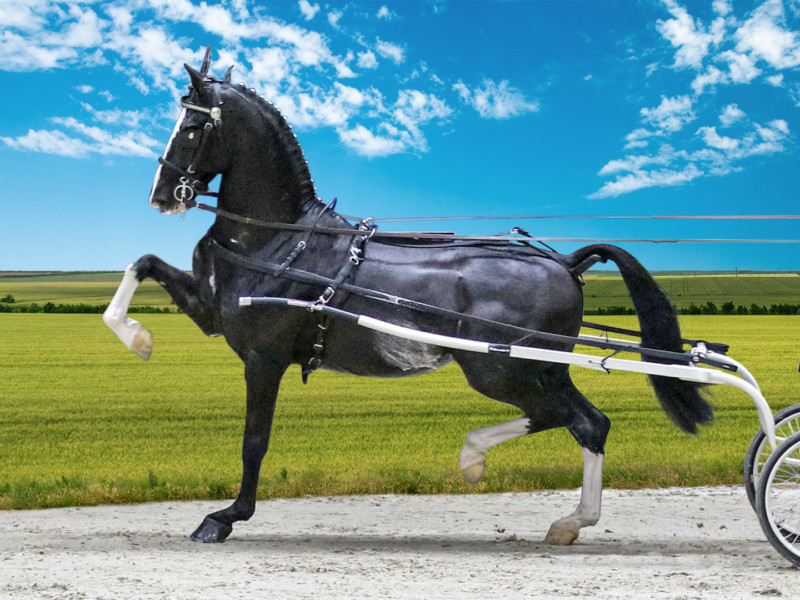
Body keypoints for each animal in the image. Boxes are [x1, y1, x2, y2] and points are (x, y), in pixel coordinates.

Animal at [103, 50, 713, 544]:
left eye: (189, 126)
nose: (162, 194)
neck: (279, 238)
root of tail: (563, 261)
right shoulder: (214, 313)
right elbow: (142, 263)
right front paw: (137, 338)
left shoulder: (264, 356)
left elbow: (255, 440)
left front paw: (225, 517)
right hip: (540, 369)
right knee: (588, 422)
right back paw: (557, 512)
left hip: (499, 369)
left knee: (572, 420)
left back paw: (493, 468)